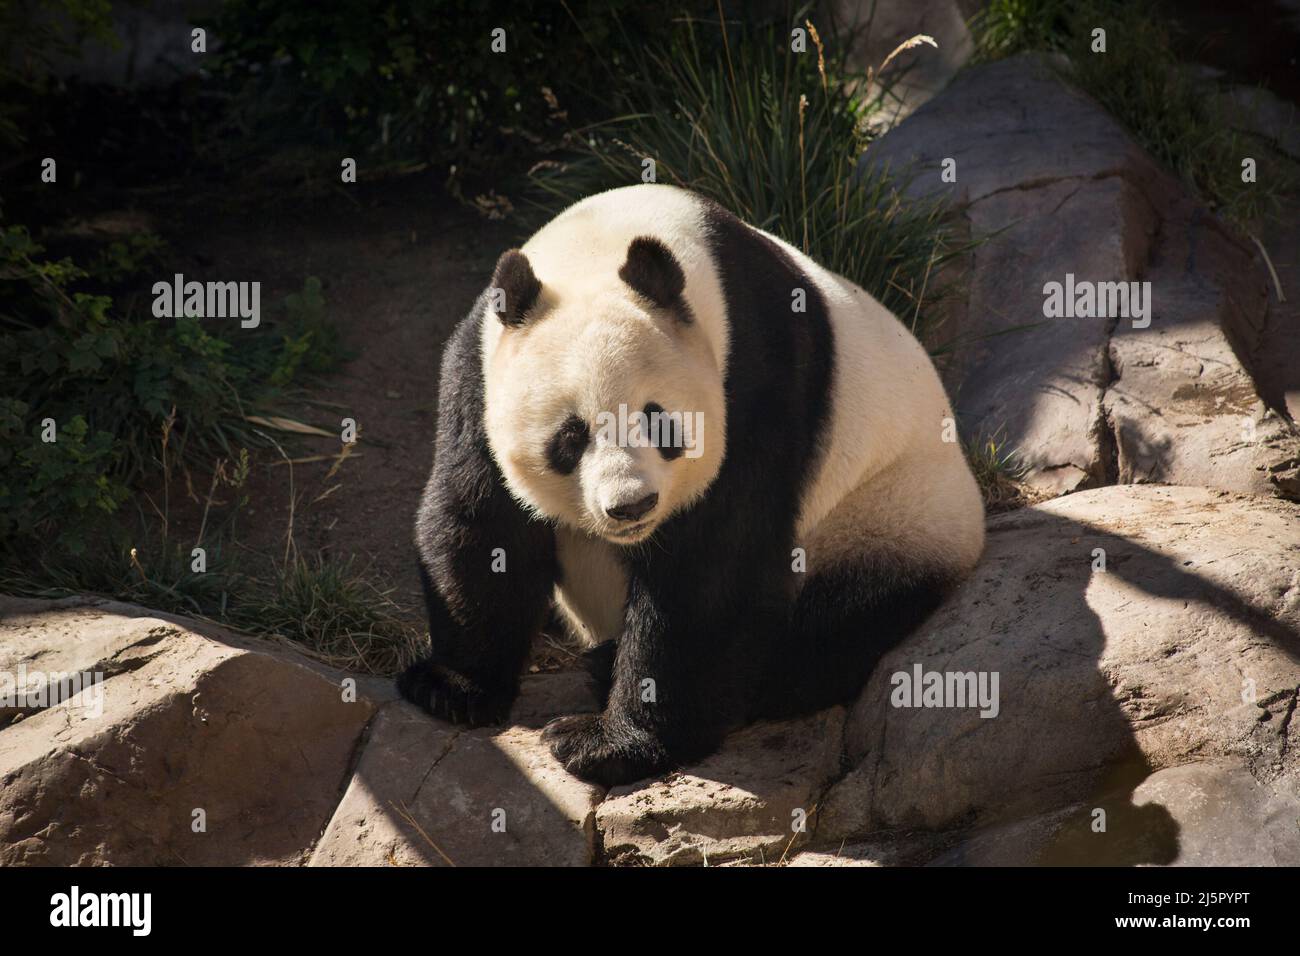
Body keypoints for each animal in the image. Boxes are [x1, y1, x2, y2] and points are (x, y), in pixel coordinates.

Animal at [398, 183, 985, 786]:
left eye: (658, 422)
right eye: (570, 436)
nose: (631, 506)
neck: (609, 238)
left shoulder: (760, 377)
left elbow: (709, 567)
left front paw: (606, 744)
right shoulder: (477, 369)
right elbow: (482, 518)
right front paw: (453, 688)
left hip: (887, 513)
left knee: (834, 625)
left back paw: (614, 667)